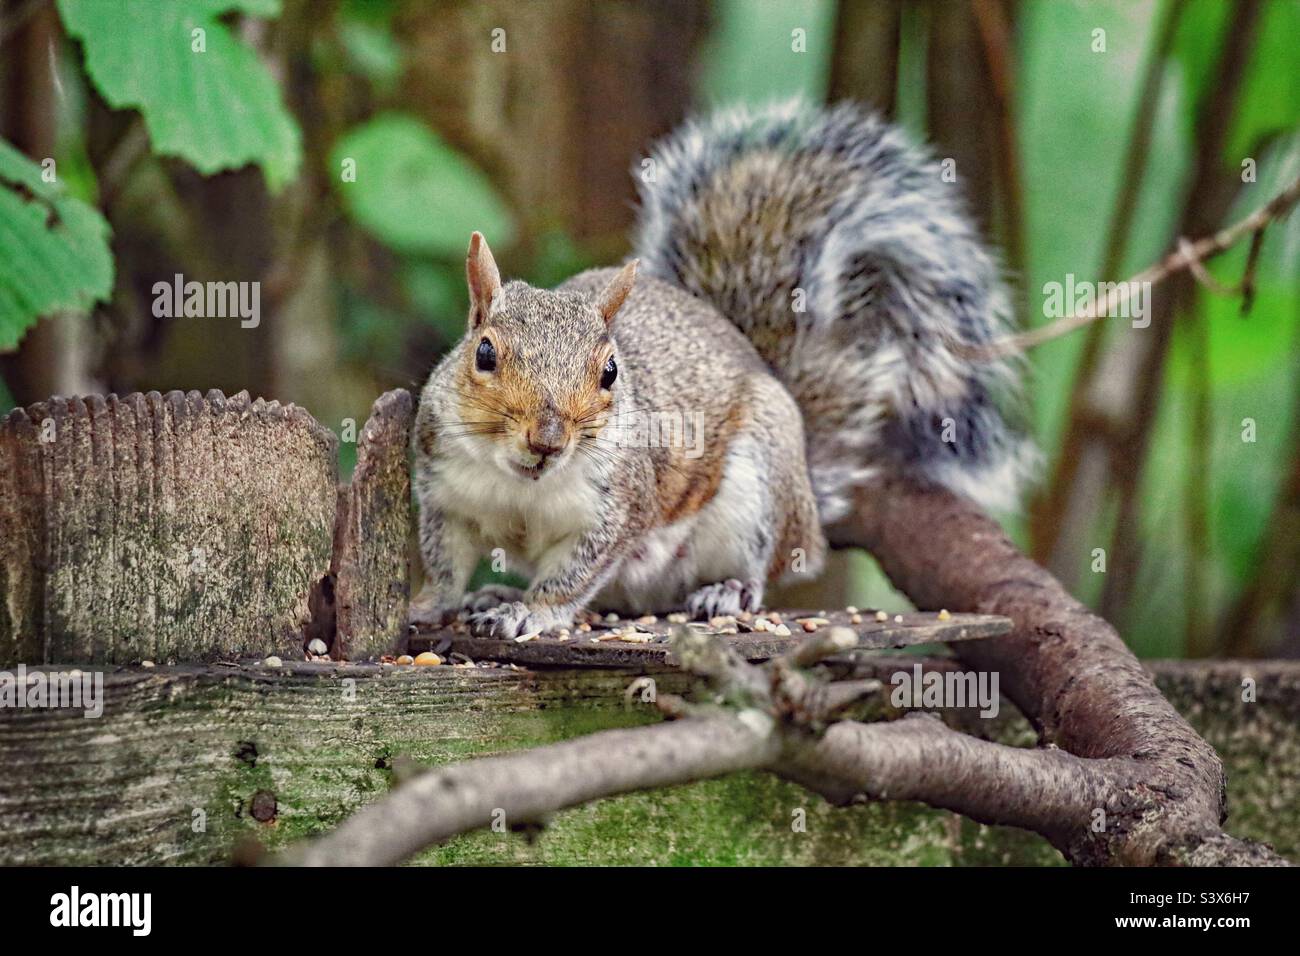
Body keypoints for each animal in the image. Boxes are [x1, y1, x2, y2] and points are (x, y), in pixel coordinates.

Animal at [411, 100, 1033, 639]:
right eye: (483, 354)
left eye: (610, 372)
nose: (547, 440)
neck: (520, 484)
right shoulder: (443, 493)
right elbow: (444, 562)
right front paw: (432, 603)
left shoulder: (618, 510)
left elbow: (572, 576)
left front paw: (530, 613)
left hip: (759, 490)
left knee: (758, 567)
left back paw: (726, 591)